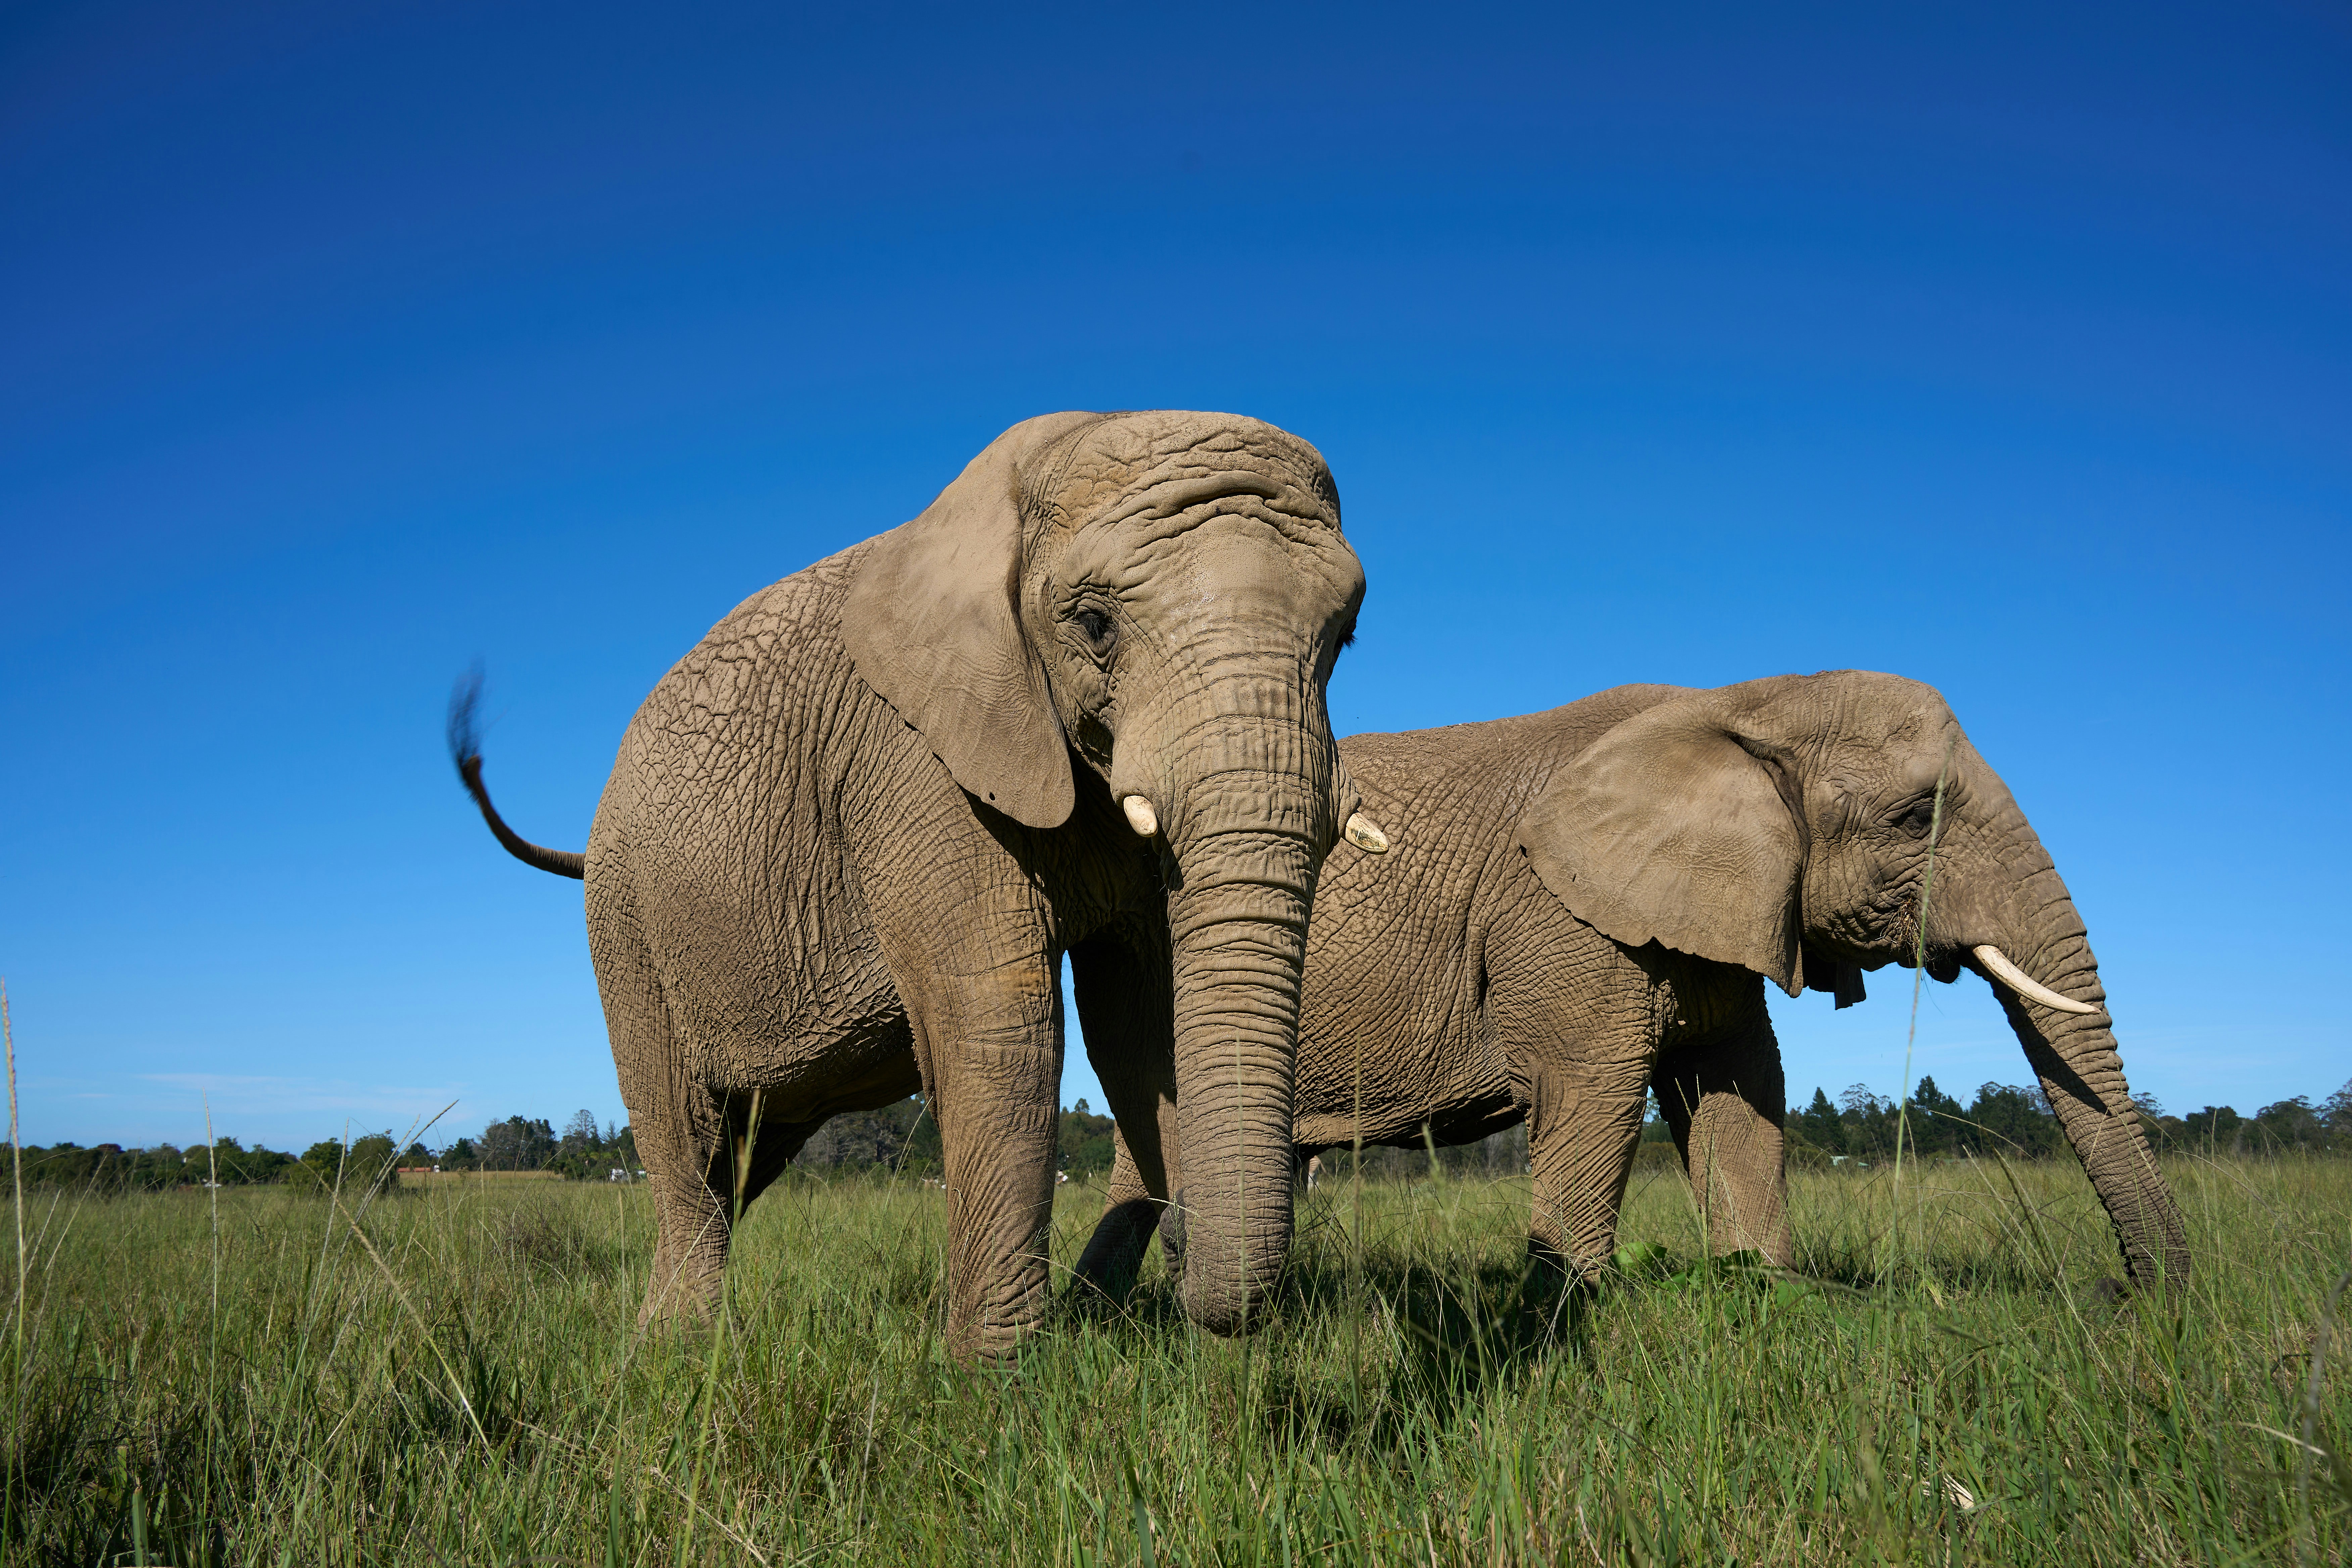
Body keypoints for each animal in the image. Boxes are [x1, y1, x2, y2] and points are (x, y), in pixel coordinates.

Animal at [451, 410, 1383, 1362]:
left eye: (1344, 636)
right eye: (1094, 625)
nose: (1190, 1250)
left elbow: (1140, 1024)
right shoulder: (912, 760)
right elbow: (1000, 1018)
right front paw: (996, 1374)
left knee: (747, 1155)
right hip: (629, 918)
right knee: (687, 1139)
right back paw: (676, 1352)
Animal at [1075, 671, 2188, 1298]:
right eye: (1918, 817)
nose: (2124, 1293)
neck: (1731, 707)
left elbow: (1738, 1088)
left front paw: (1769, 1293)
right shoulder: (1558, 915)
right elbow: (1593, 1089)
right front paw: (1564, 1315)